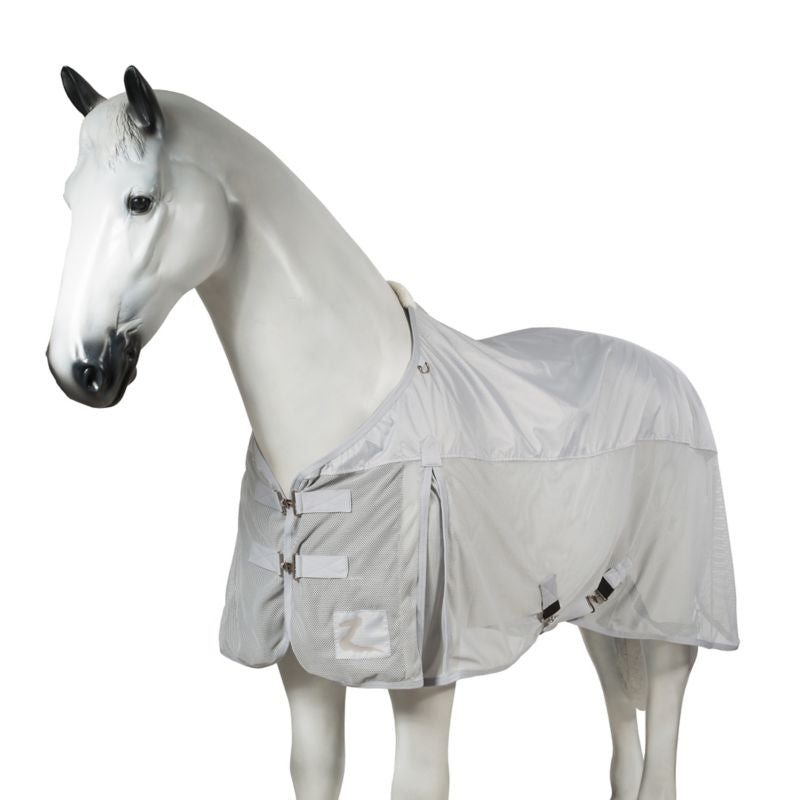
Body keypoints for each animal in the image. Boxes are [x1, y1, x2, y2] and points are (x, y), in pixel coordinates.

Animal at [47, 66, 737, 800]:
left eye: (140, 200)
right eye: (68, 200)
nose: (78, 369)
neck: (347, 407)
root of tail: (672, 376)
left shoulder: (425, 680)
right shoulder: (302, 663)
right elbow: (316, 767)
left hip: (669, 614)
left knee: (661, 737)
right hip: (599, 605)